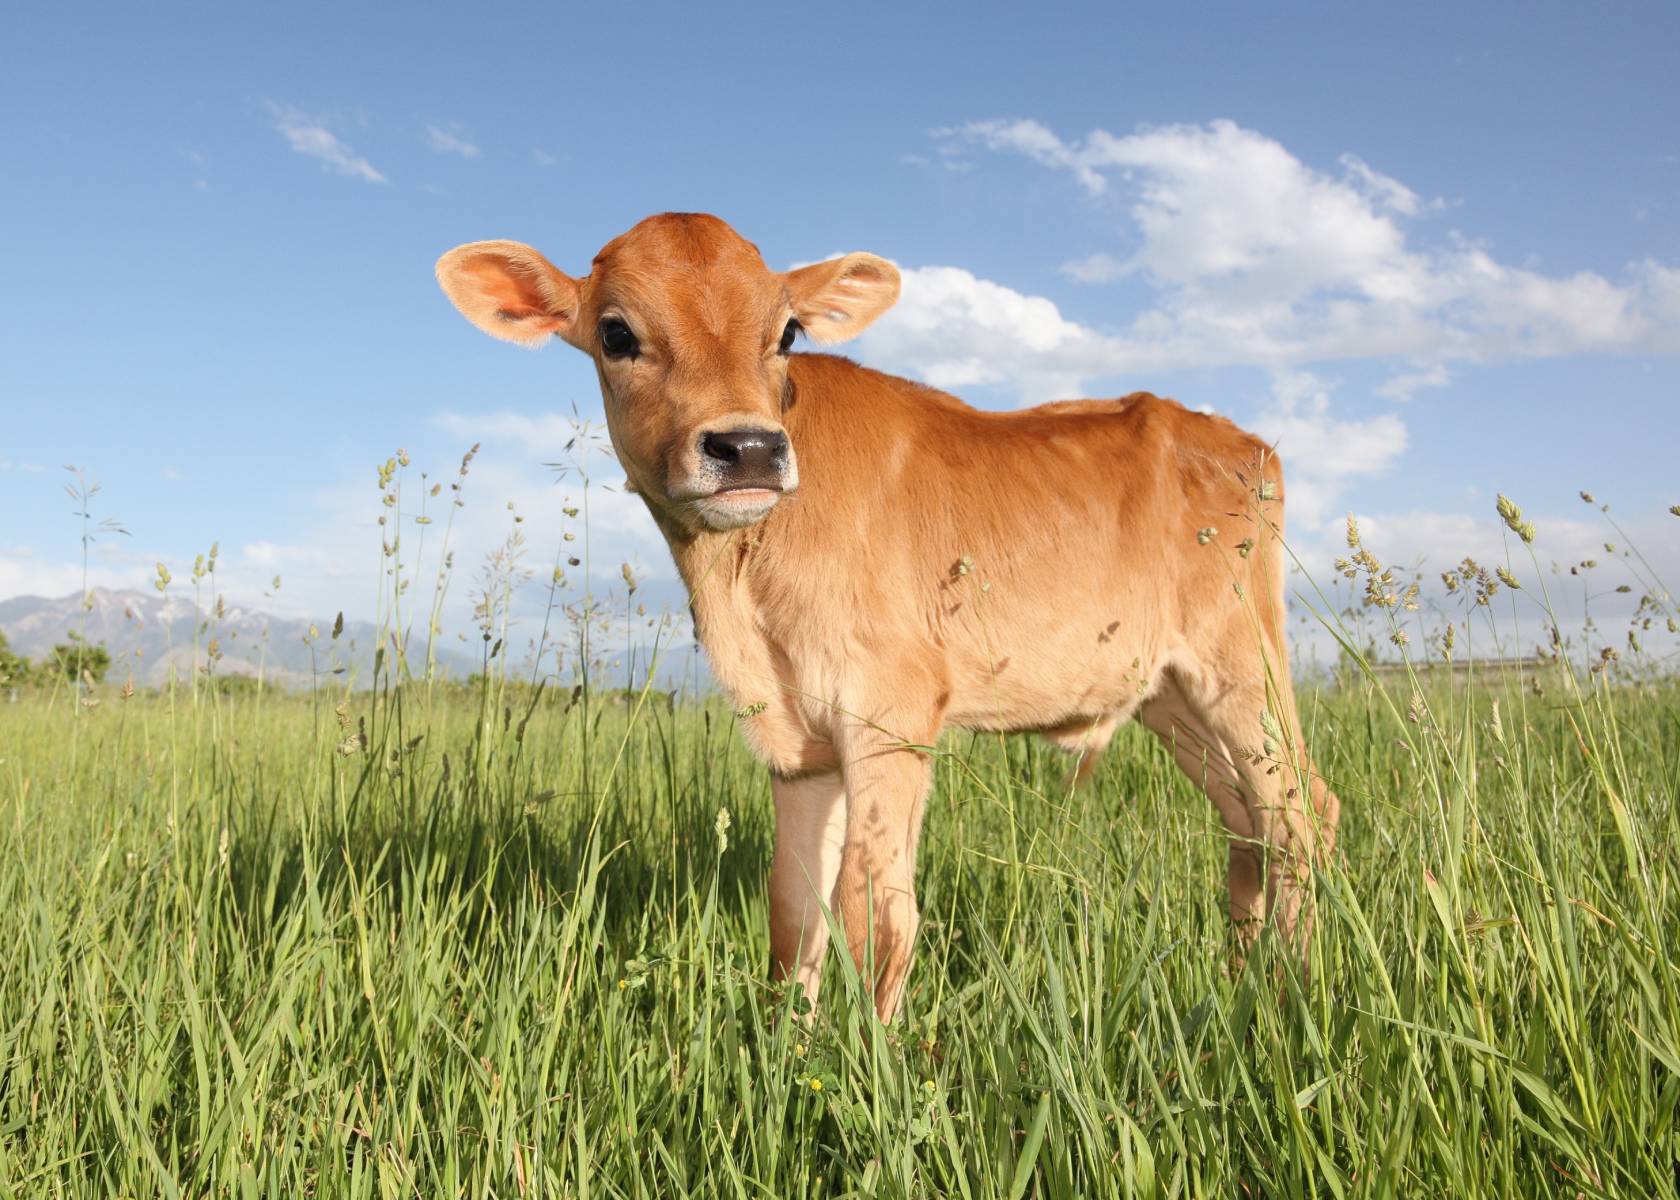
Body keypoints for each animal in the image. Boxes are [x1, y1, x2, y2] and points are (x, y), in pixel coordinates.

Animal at [435, 213, 1339, 1021]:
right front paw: (788, 1054)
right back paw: (1240, 981)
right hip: (1170, 695)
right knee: (1248, 825)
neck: (741, 590)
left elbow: (874, 913)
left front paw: (871, 1076)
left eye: (787, 331)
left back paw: (1293, 989)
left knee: (1302, 815)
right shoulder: (797, 742)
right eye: (617, 334)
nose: (748, 449)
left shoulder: (893, 712)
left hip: (1242, 664)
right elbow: (794, 911)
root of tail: (1234, 439)